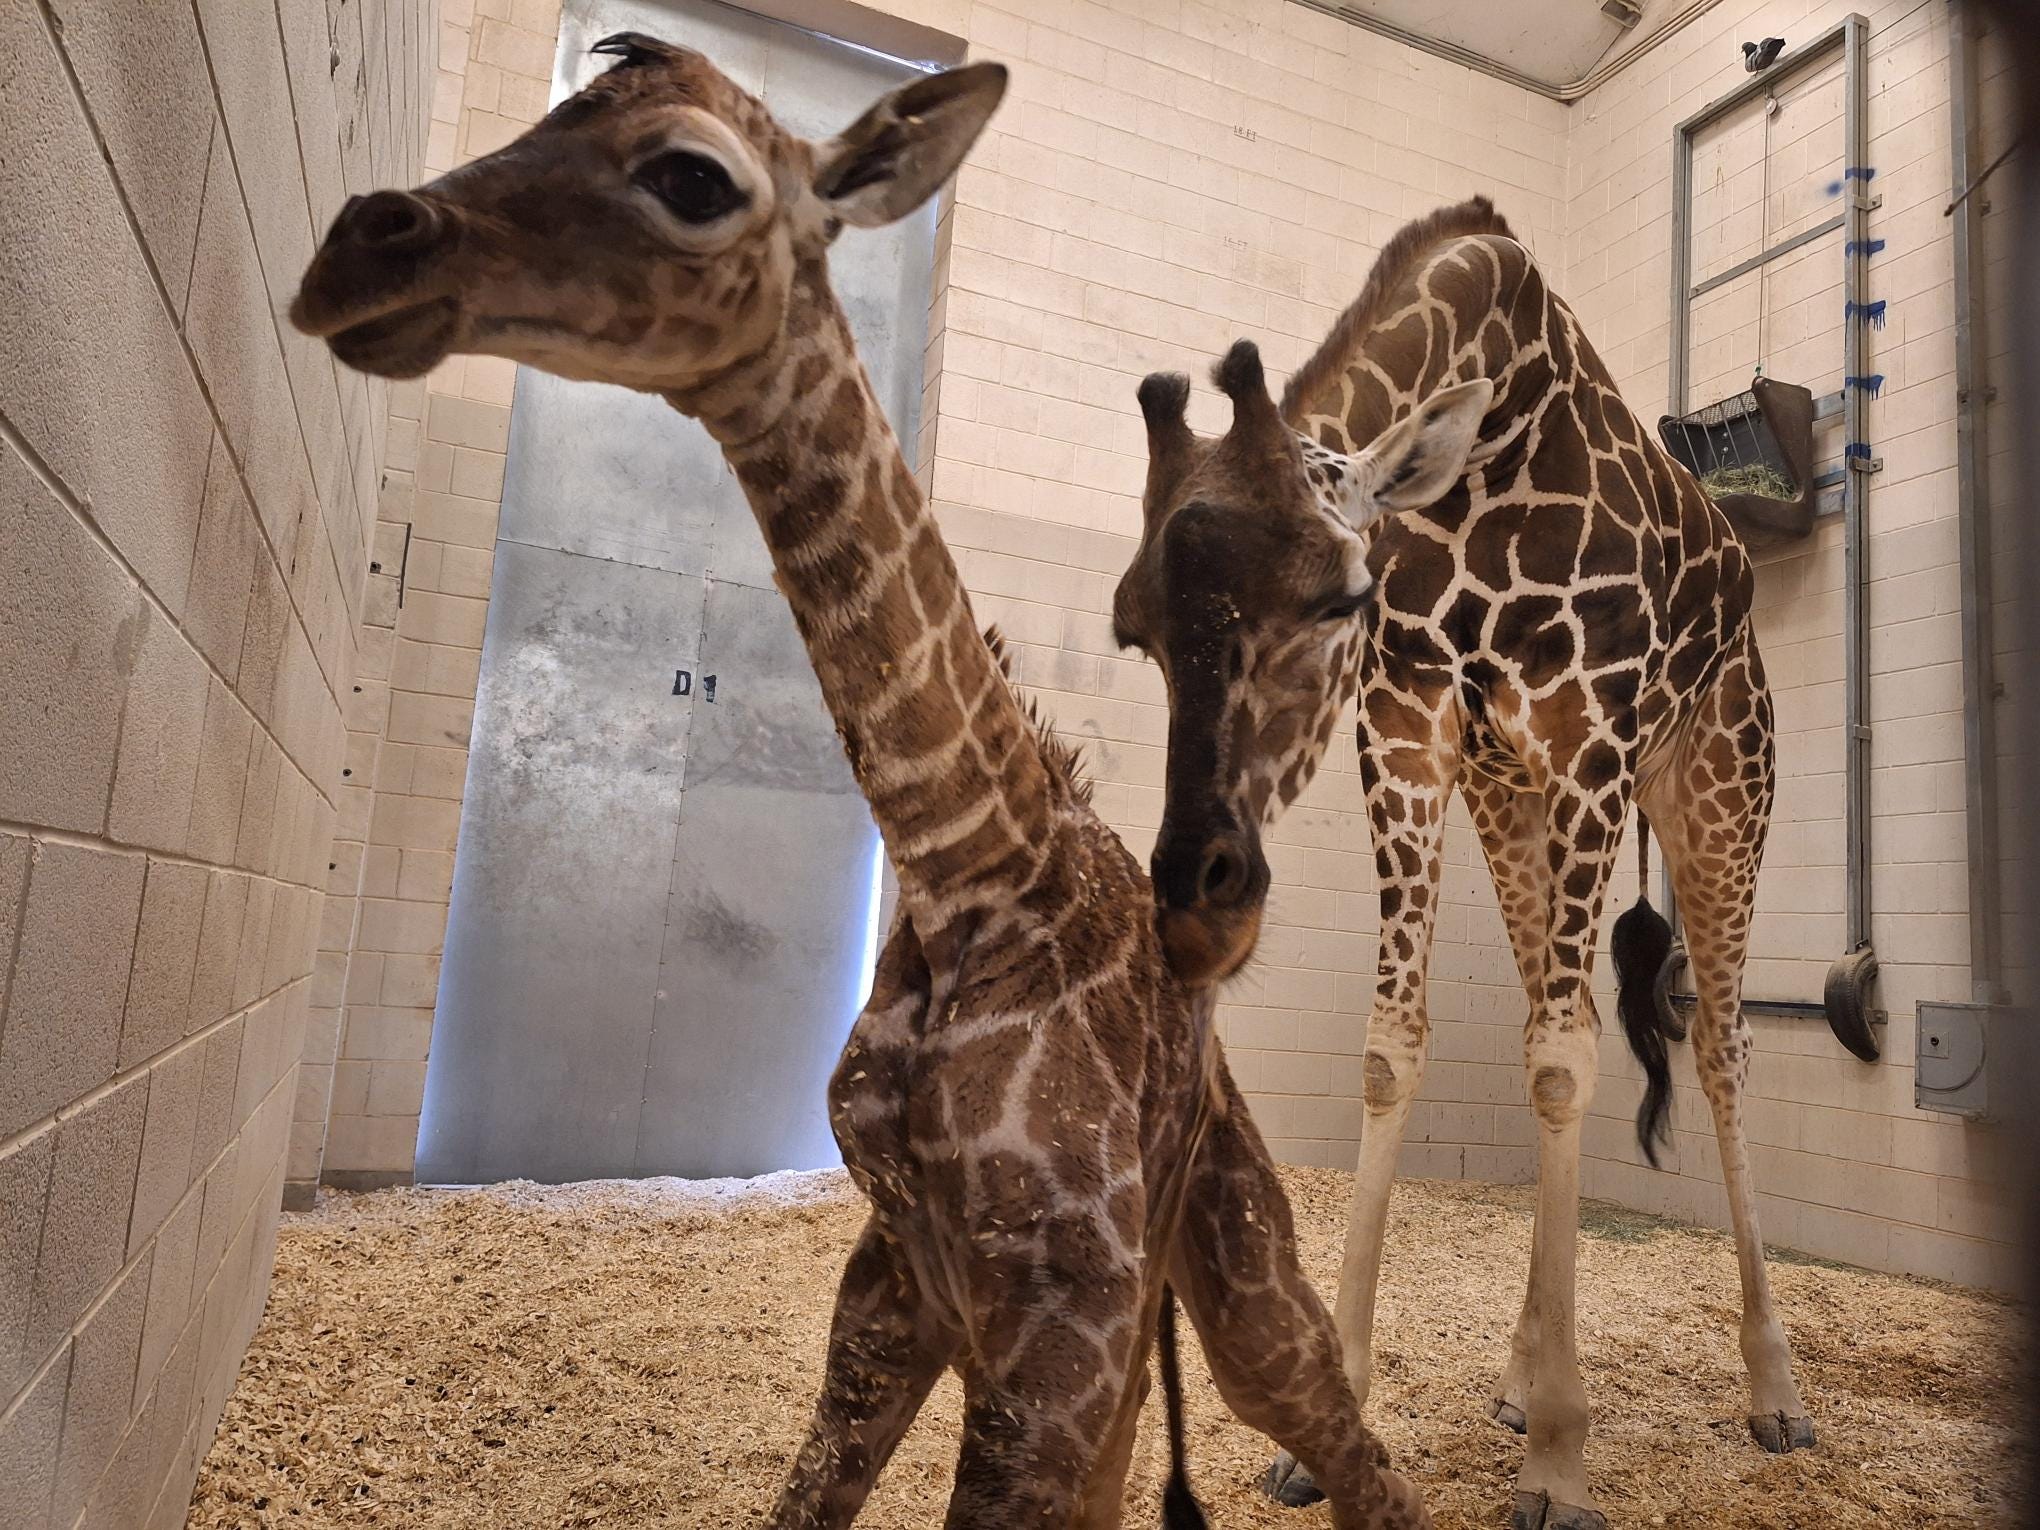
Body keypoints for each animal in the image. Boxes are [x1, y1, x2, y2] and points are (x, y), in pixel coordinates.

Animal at [290, 36, 1433, 1530]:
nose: (358, 248)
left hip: (1234, 1263)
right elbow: (815, 1490)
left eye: (691, 177)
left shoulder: (1060, 1312)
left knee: (1348, 1438)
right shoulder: (897, 1279)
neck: (970, 872)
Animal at [1110, 198, 1814, 1530]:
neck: (1483, 463)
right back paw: (1520, 1379)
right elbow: (1400, 1046)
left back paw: (1775, 1395)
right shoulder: (1411, 731)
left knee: (1721, 1047)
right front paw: (1328, 1431)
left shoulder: (1590, 737)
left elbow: (1562, 1065)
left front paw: (1562, 1466)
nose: (1198, 881)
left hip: (1718, 791)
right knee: (1569, 1004)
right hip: (1512, 800)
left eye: (1335, 603)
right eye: (1136, 634)